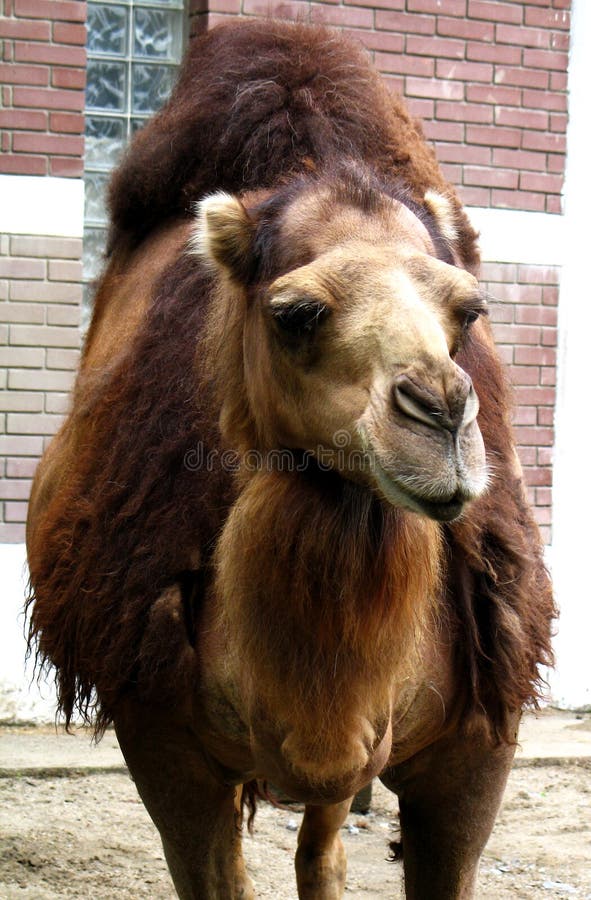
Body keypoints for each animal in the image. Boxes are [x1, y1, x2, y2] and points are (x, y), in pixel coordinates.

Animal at [26, 20, 555, 899]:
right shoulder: (162, 736)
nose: (440, 414)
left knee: (323, 844)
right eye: (295, 313)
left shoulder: (479, 734)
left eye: (468, 310)